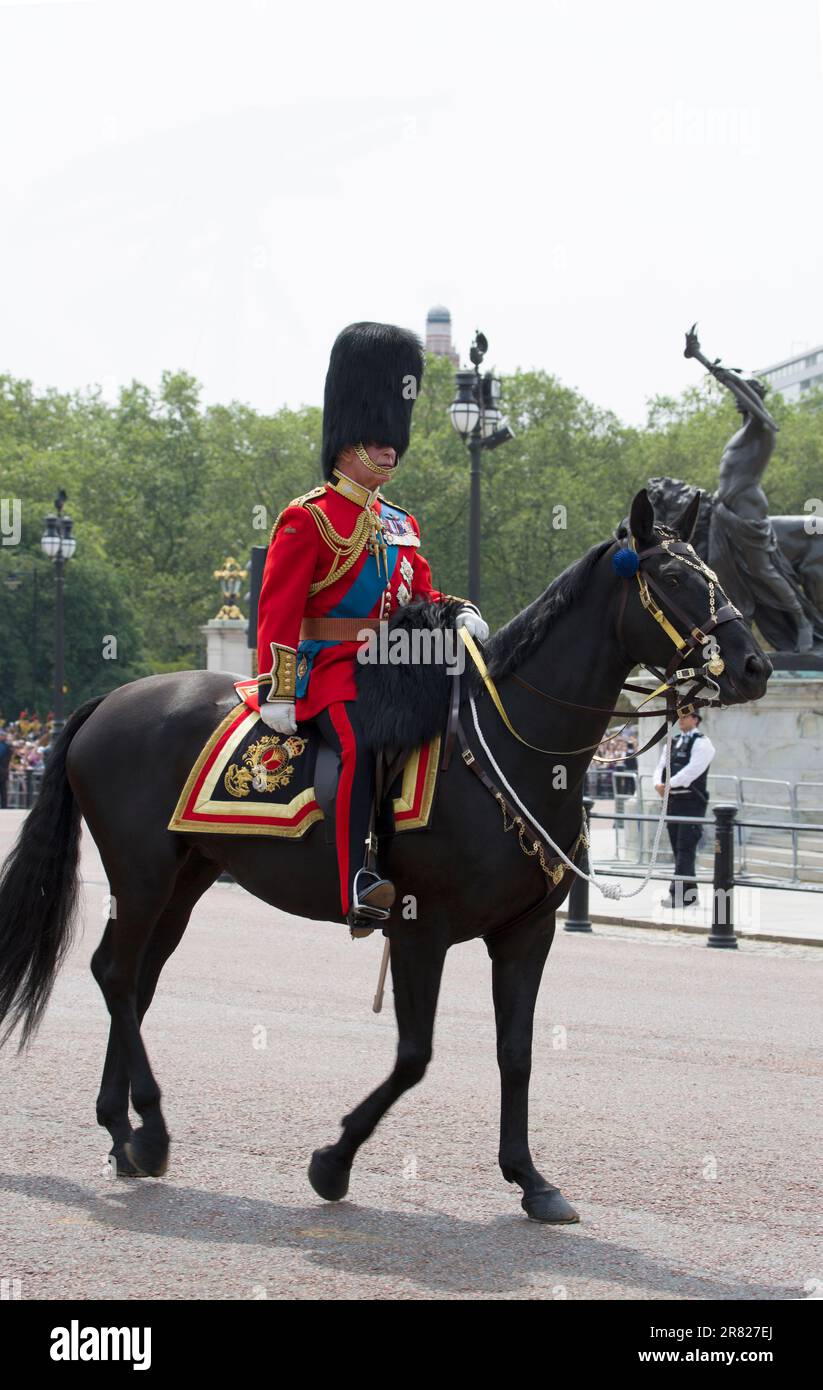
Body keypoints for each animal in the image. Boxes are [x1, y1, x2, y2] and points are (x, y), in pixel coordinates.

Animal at [0, 489, 771, 1223]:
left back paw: (122, 1133)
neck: (511, 751)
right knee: (114, 971)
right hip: (142, 873)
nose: (755, 664)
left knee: (134, 978)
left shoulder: (526, 932)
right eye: (674, 576)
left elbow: (515, 1052)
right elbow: (415, 1055)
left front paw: (530, 1179)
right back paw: (150, 1130)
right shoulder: (418, 927)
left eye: (711, 571)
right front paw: (332, 1161)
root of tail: (105, 702)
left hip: (184, 878)